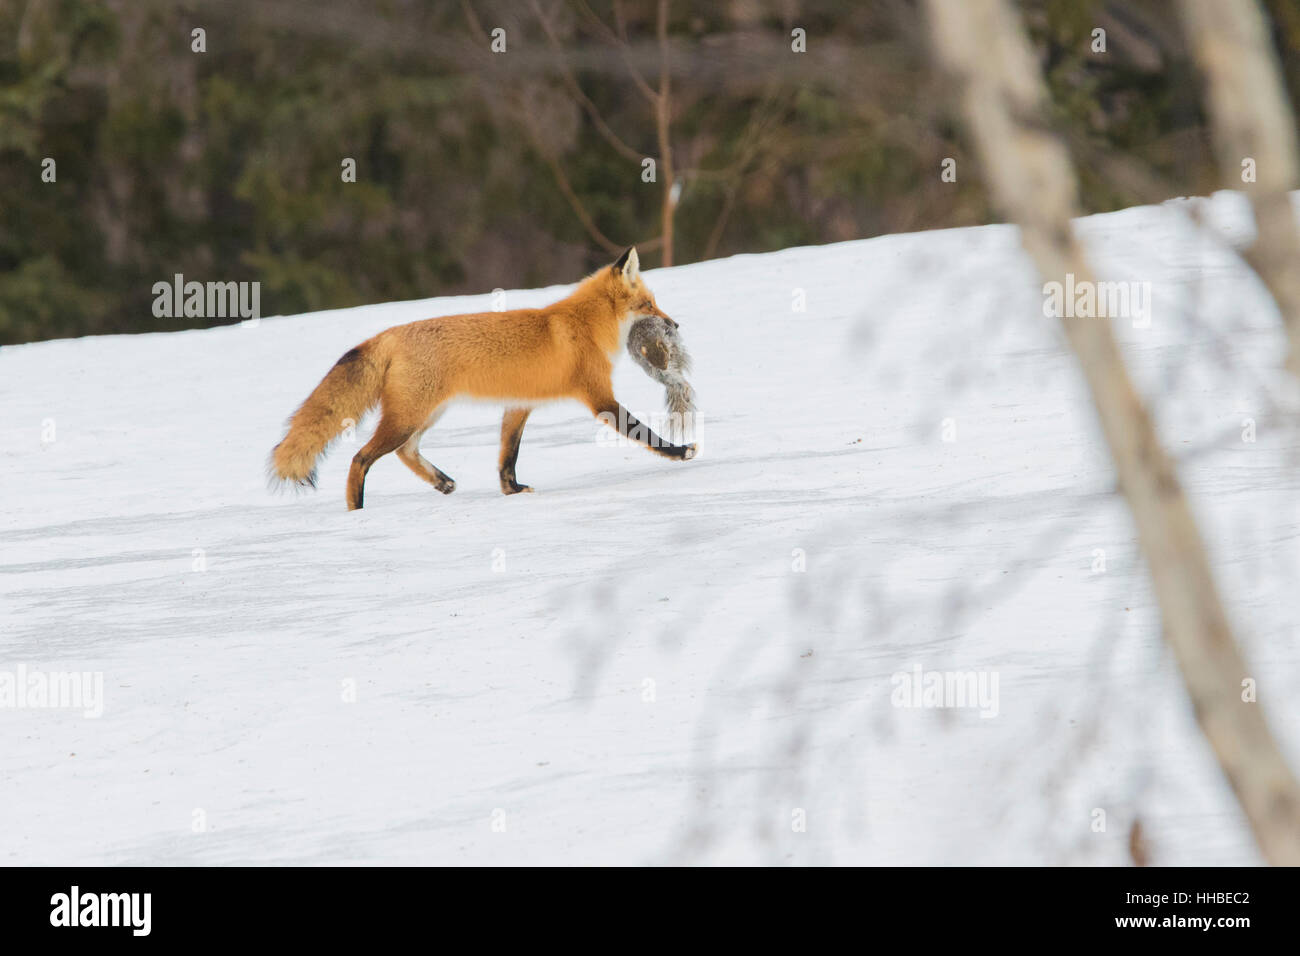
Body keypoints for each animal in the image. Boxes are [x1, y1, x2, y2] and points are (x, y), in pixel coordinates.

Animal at [270, 247, 697, 510]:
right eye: (649, 305)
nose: (676, 324)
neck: (586, 324)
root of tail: (389, 333)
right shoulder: (600, 399)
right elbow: (644, 433)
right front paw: (680, 452)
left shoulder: (519, 405)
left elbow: (508, 456)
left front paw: (512, 491)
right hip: (408, 417)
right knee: (361, 458)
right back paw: (357, 510)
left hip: (425, 415)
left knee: (405, 451)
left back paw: (441, 482)